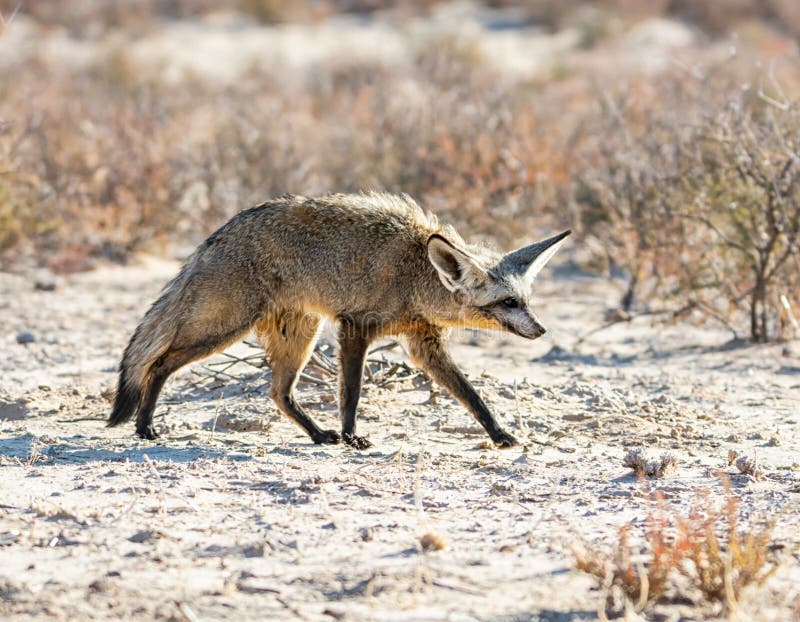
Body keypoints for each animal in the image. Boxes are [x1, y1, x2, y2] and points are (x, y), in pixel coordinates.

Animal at [108, 192, 570, 449]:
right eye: (508, 302)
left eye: (526, 301)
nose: (541, 330)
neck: (416, 272)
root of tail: (218, 234)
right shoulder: (355, 327)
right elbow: (351, 393)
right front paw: (351, 437)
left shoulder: (424, 343)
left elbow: (472, 395)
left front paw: (499, 434)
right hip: (224, 328)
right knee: (160, 362)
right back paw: (145, 426)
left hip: (300, 335)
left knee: (279, 393)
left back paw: (316, 434)